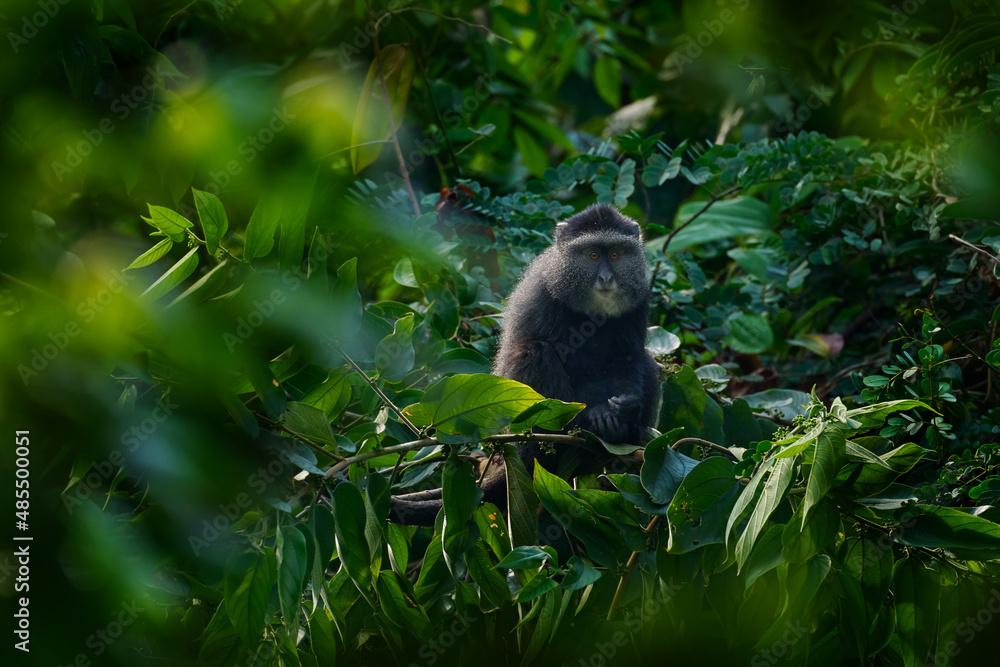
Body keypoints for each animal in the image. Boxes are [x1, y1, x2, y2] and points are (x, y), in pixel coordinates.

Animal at [390, 204, 660, 526]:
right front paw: (597, 415)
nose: (606, 278)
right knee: (532, 350)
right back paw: (574, 431)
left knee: (647, 360)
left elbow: (627, 355)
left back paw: (627, 432)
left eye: (616, 255)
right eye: (593, 255)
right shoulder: (545, 293)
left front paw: (624, 410)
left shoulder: (639, 298)